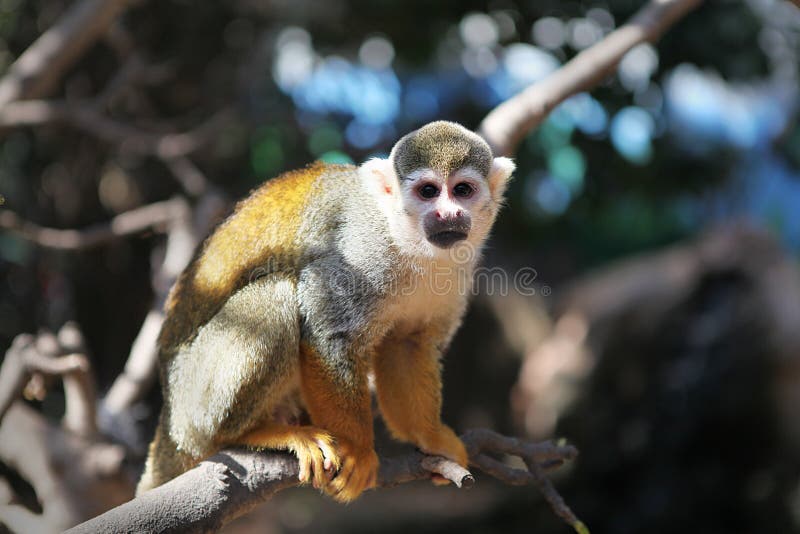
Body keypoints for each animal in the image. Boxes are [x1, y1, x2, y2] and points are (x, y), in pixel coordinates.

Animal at [136, 120, 515, 502]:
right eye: (428, 191)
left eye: (462, 190)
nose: (448, 214)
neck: (409, 243)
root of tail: (169, 423)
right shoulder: (360, 255)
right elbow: (328, 333)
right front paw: (358, 451)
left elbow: (407, 344)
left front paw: (430, 437)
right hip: (193, 400)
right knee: (277, 295)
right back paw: (249, 434)